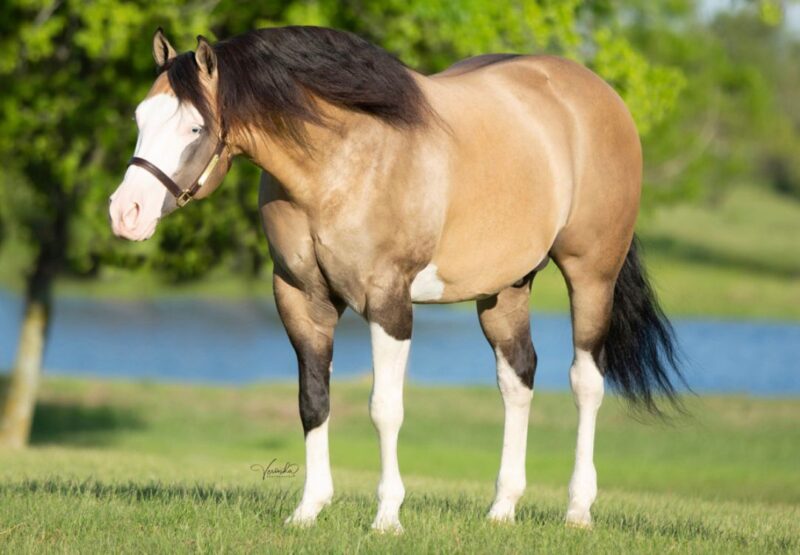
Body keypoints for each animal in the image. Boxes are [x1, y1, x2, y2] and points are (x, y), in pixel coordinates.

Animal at [109, 26, 682, 533]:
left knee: (586, 382)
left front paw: (387, 517)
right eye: (139, 116)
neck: (342, 163)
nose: (125, 212)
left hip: (592, 274)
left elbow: (384, 409)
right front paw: (308, 510)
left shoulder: (388, 304)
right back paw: (503, 508)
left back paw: (578, 510)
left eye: (194, 128)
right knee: (517, 378)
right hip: (505, 288)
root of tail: (598, 95)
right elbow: (312, 401)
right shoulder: (300, 299)